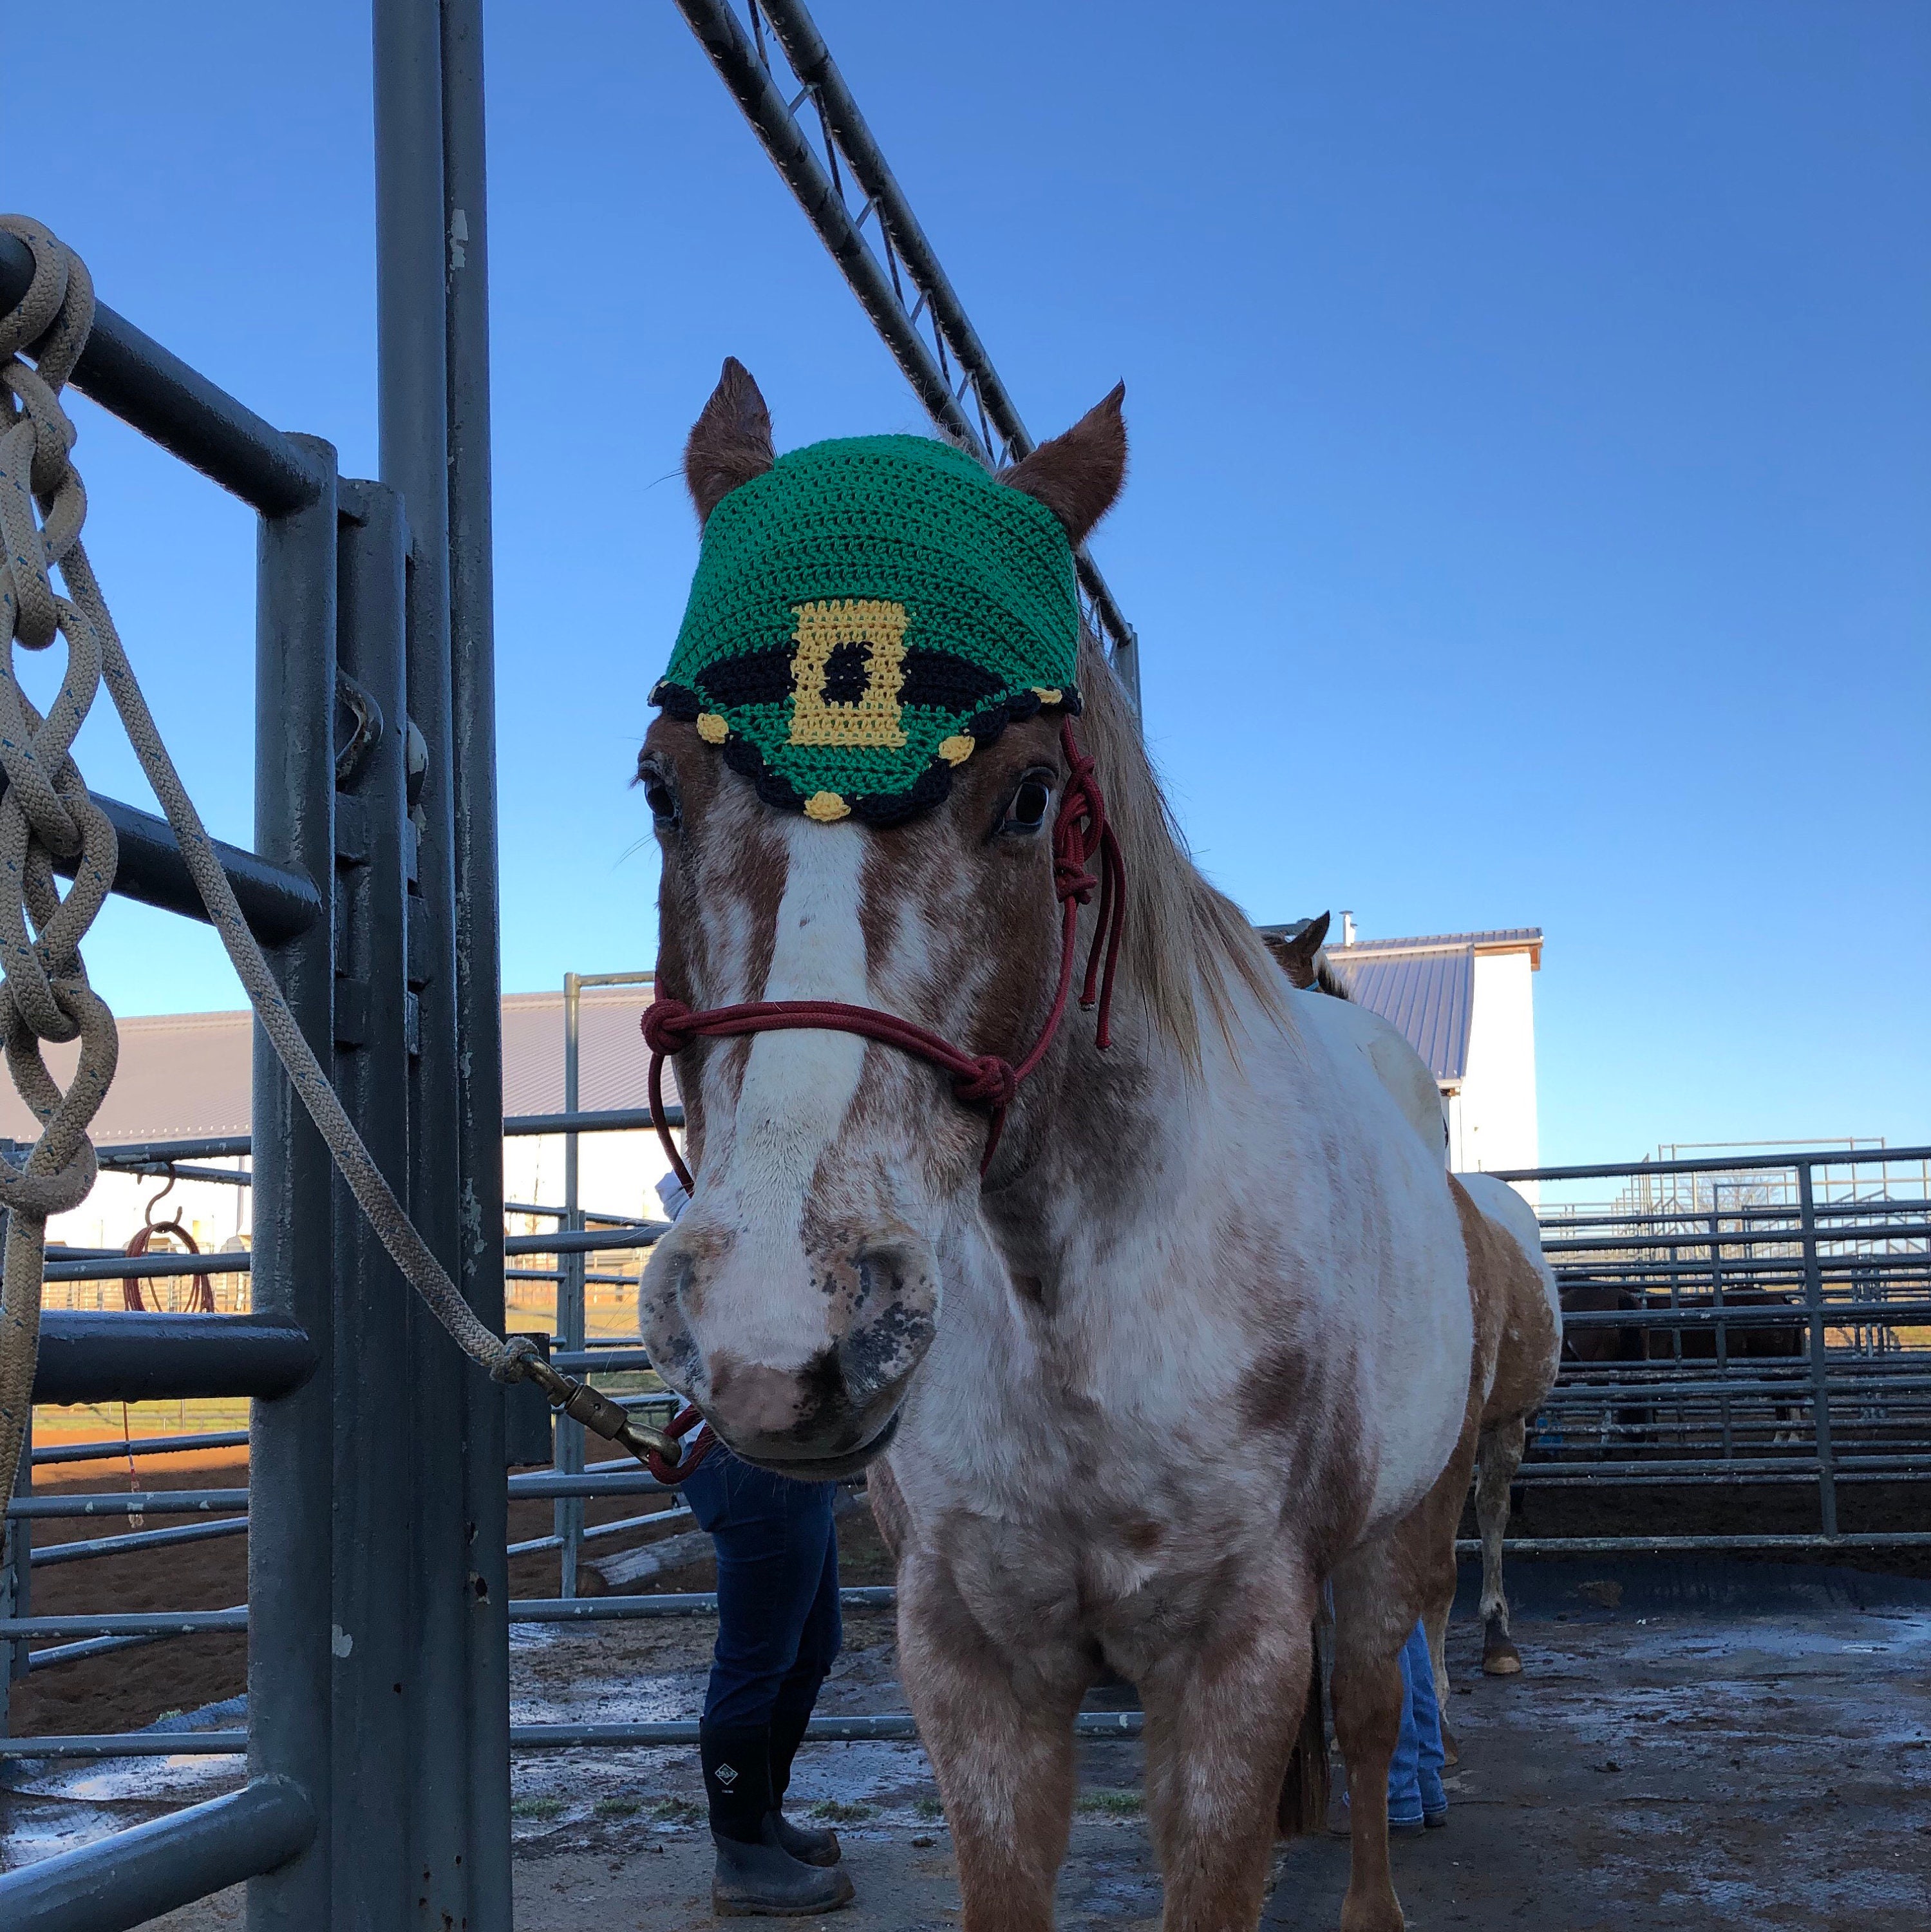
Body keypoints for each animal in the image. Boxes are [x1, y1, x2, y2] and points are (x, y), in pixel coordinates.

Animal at [637, 363, 1501, 1932]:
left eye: (1029, 796)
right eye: (662, 788)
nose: (783, 1324)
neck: (1066, 1301)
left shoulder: (1231, 1666)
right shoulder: (970, 1667)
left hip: (1398, 1542)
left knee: (1362, 1726)